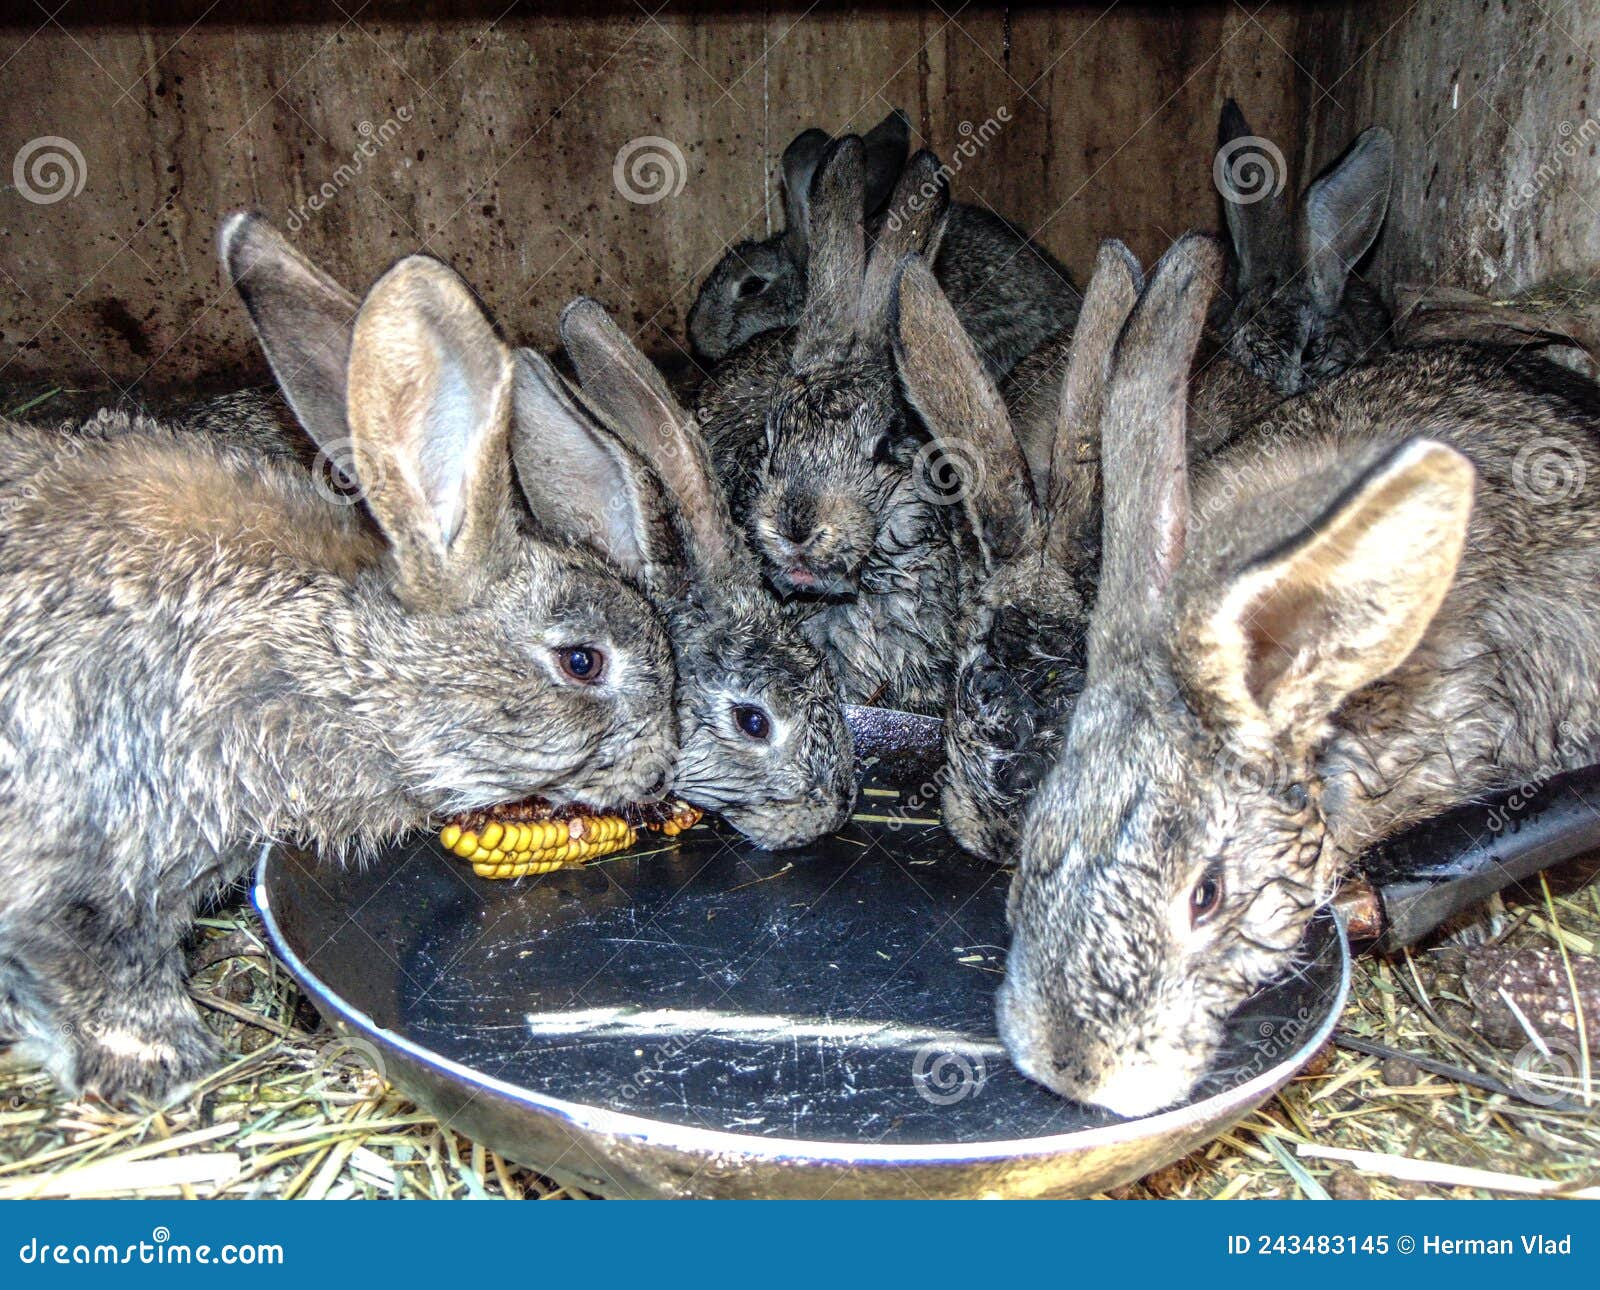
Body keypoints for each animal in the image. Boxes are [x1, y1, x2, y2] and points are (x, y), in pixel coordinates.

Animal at [0, 212, 678, 1104]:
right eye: (581, 662)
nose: (662, 770)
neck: (341, 663)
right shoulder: (93, 856)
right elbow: (104, 968)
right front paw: (169, 1069)